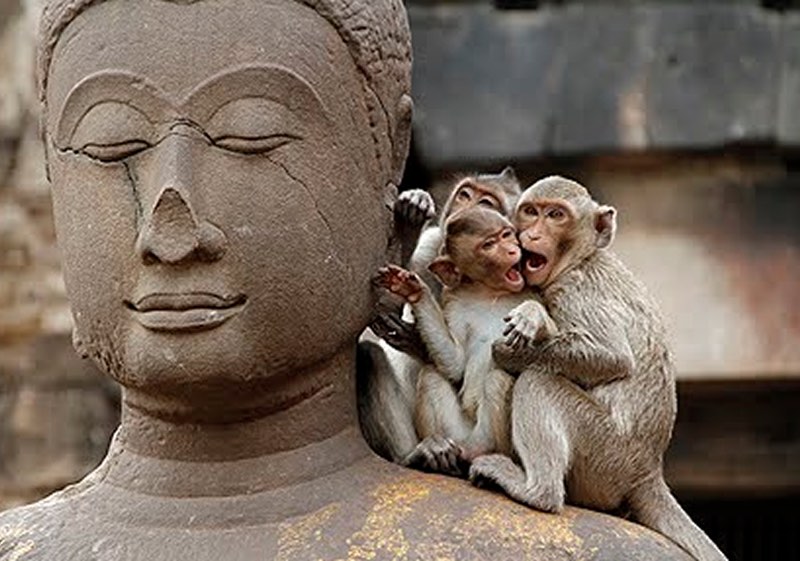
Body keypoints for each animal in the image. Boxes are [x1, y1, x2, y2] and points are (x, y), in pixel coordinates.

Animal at [375, 205, 549, 476]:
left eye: (507, 234)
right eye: (489, 244)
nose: (513, 250)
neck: (491, 292)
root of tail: (469, 445)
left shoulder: (536, 292)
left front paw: (530, 315)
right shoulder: (454, 303)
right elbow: (456, 366)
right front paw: (415, 291)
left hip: (488, 436)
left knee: (497, 381)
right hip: (457, 432)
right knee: (432, 375)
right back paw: (439, 455)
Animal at [467, 176, 728, 561]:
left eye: (556, 215)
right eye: (530, 211)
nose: (531, 234)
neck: (582, 258)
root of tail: (649, 470)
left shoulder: (574, 291)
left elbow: (612, 357)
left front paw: (519, 339)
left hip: (606, 454)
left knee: (538, 381)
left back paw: (537, 492)